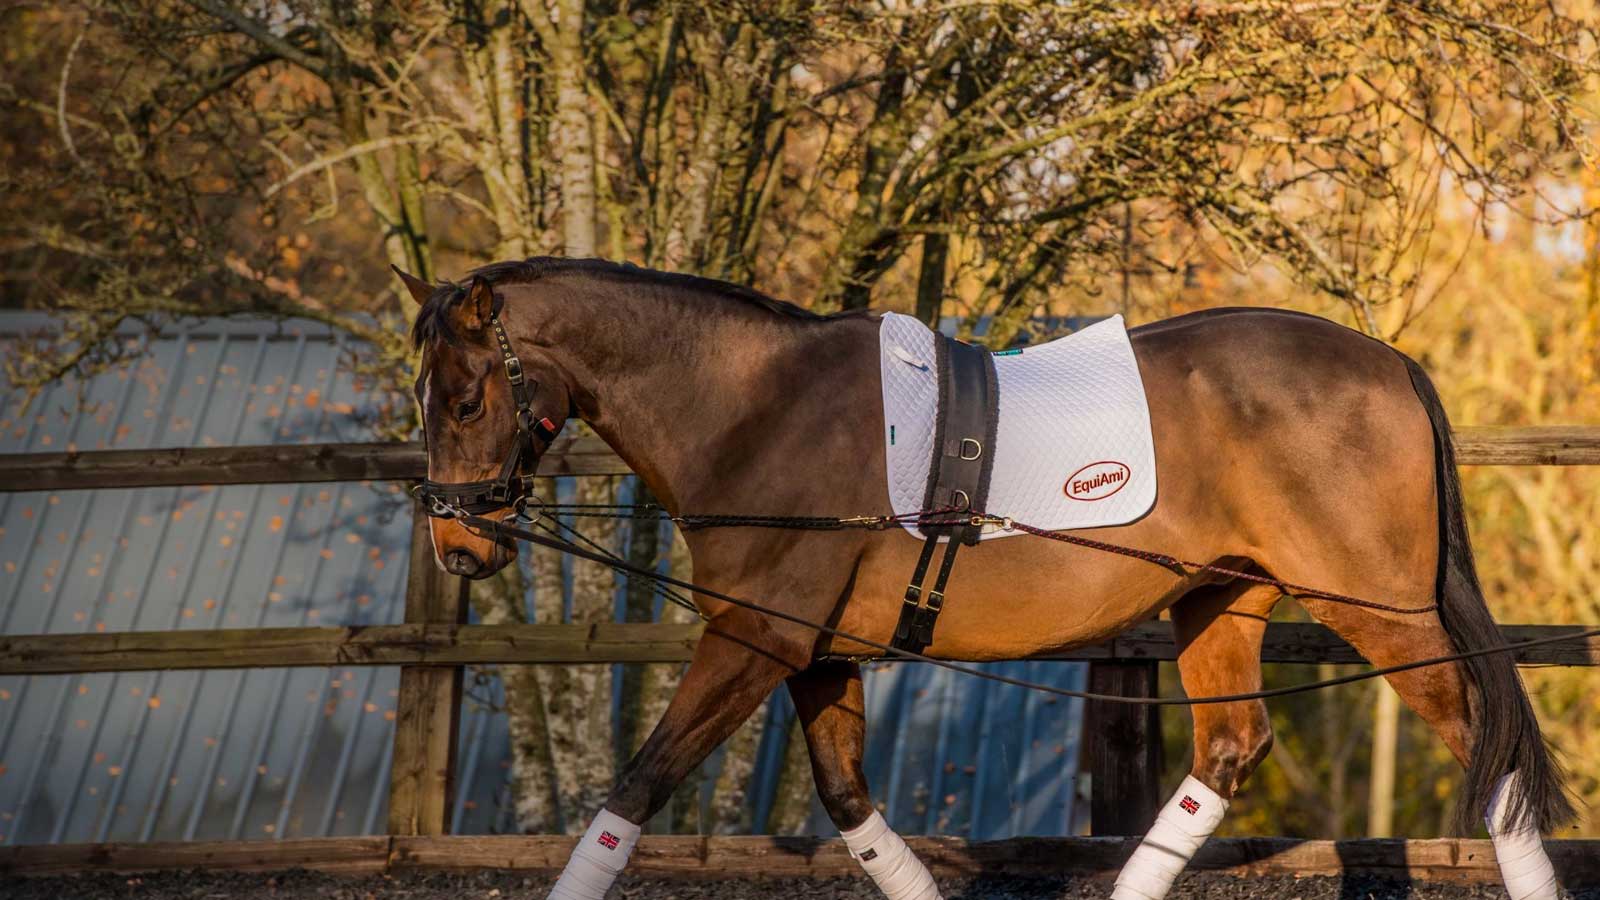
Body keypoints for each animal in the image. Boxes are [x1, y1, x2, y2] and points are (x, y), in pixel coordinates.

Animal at [397, 257, 1571, 900]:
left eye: (463, 399)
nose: (460, 549)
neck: (755, 411)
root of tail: (1388, 361)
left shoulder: (753, 641)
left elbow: (635, 788)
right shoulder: (812, 650)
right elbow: (847, 799)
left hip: (1379, 609)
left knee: (1487, 748)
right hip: (1220, 597)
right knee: (1231, 749)